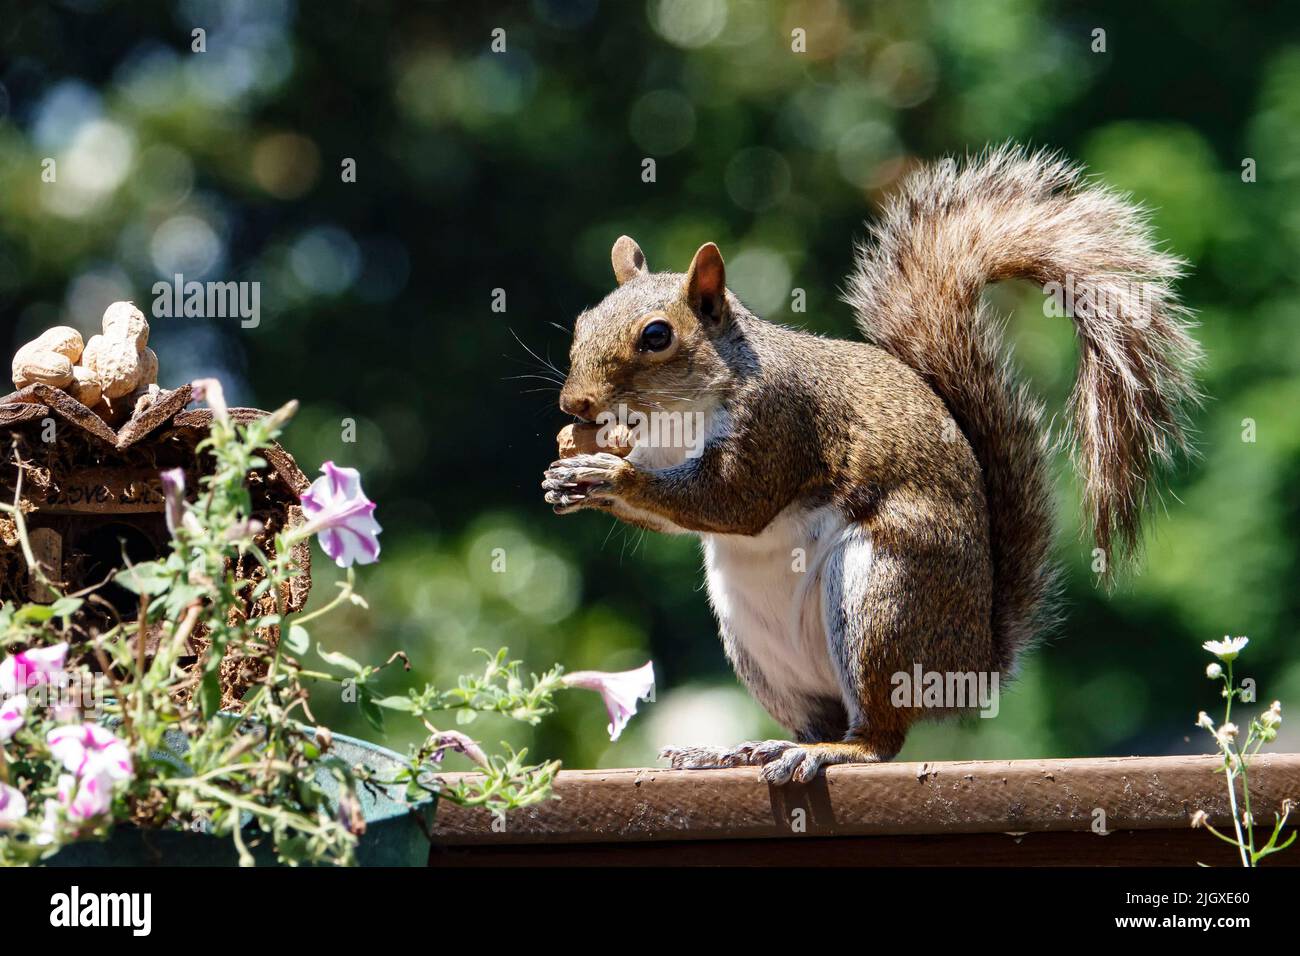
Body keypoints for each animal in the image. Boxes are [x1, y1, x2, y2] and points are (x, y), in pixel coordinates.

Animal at [542, 147, 1202, 783]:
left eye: (657, 336)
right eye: (582, 322)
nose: (575, 404)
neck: (681, 415)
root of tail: (971, 668)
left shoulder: (780, 421)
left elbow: (732, 501)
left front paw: (610, 476)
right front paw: (570, 473)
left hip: (883, 599)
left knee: (880, 738)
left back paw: (830, 753)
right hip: (758, 641)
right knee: (818, 720)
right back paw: (740, 752)